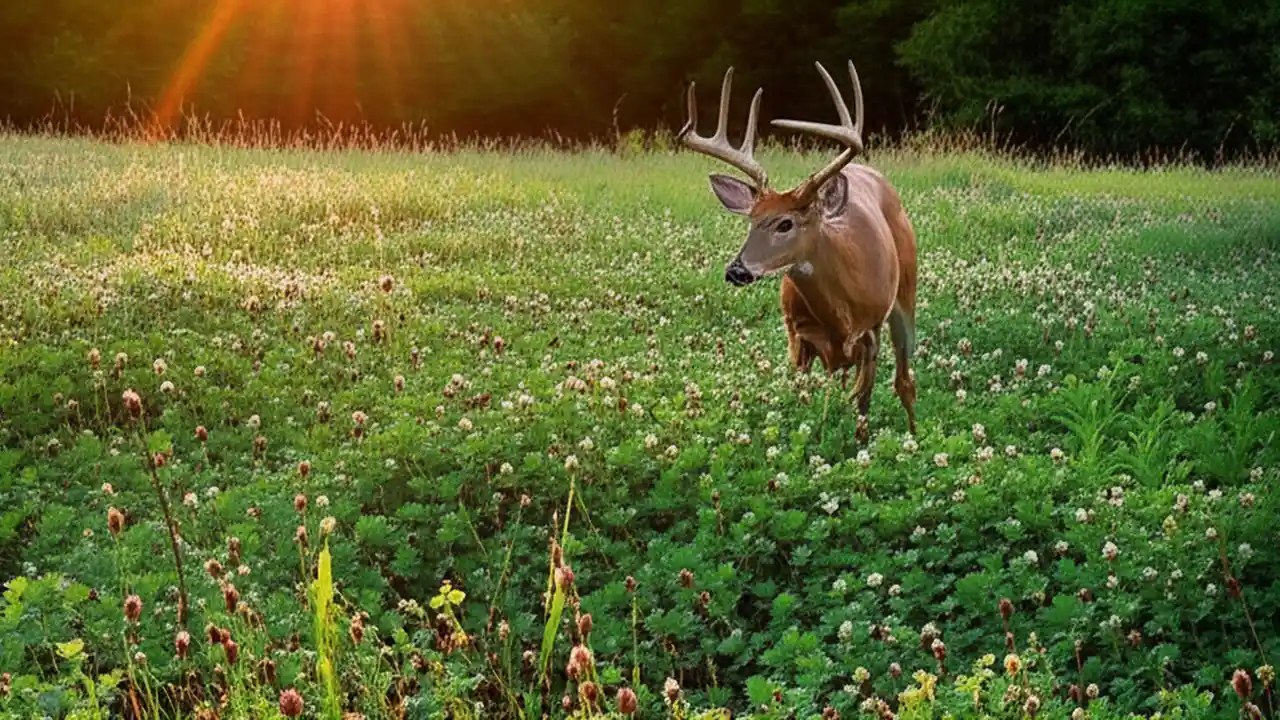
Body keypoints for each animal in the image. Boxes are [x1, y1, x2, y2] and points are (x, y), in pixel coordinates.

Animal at [679, 60, 918, 442]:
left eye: (785, 224)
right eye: (751, 221)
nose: (736, 270)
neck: (840, 312)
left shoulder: (869, 334)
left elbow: (863, 404)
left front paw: (862, 445)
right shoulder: (797, 337)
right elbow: (803, 401)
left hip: (906, 291)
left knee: (904, 381)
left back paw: (914, 431)